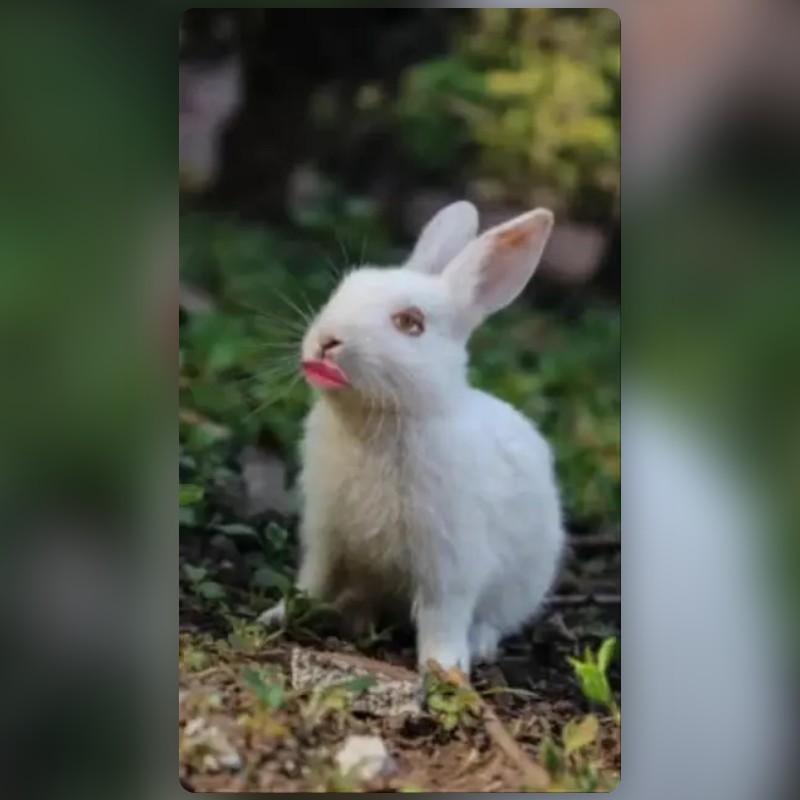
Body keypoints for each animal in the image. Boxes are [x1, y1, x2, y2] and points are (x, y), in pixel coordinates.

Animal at [258, 201, 566, 674]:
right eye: (344, 288)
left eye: (410, 323)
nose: (326, 341)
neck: (378, 422)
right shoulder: (326, 534)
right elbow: (312, 581)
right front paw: (276, 615)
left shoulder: (451, 560)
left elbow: (443, 616)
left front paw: (445, 670)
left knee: (493, 621)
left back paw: (478, 646)